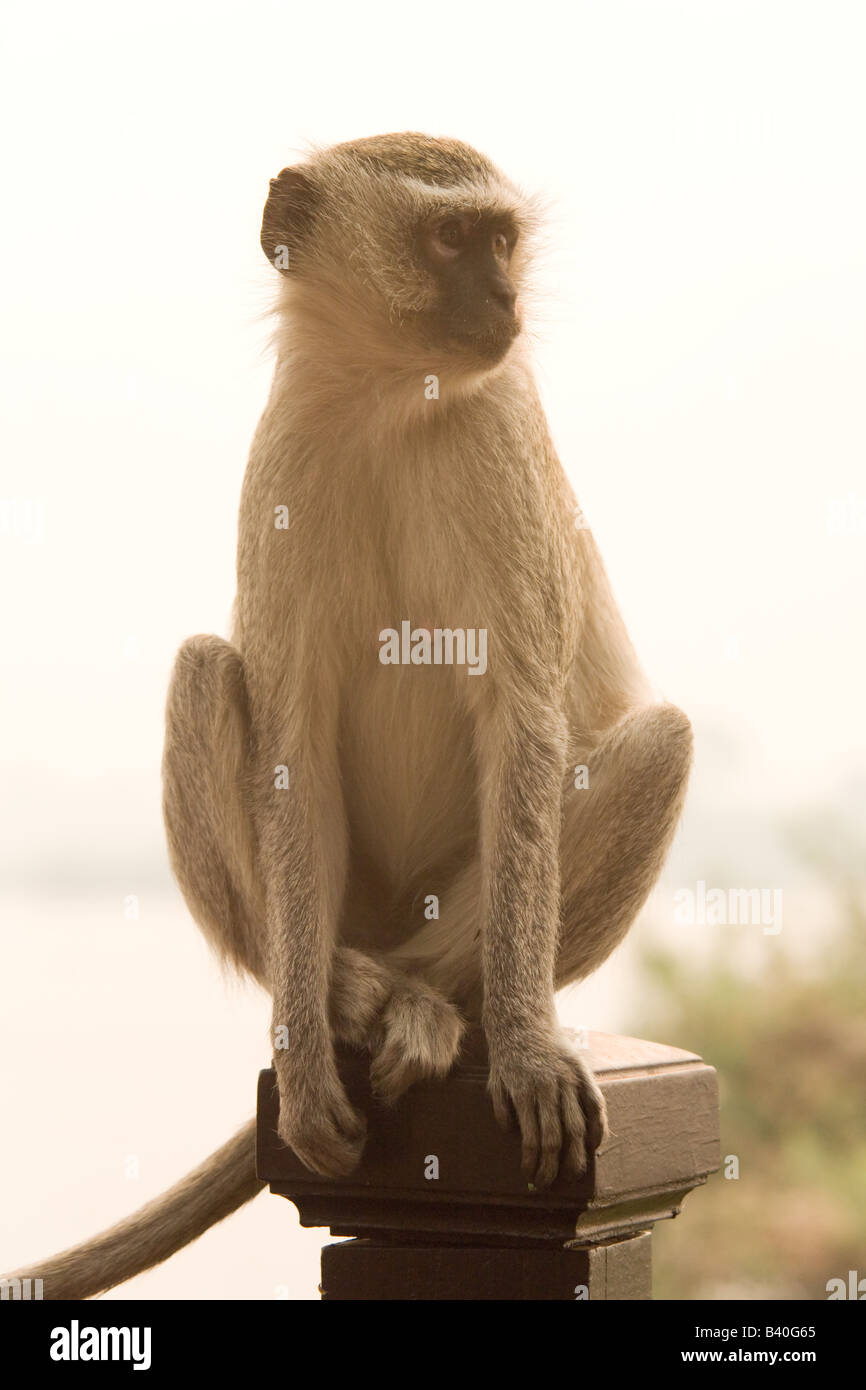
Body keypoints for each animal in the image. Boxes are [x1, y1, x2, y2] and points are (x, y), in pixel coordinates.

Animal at [4, 133, 692, 1299]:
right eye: (451, 238)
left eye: (500, 239)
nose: (506, 296)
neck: (390, 397)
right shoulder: (284, 451)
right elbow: (293, 741)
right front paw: (301, 1055)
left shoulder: (500, 429)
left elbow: (524, 723)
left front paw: (521, 1042)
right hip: (346, 905)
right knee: (204, 673)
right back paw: (344, 996)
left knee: (660, 744)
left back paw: (438, 1009)